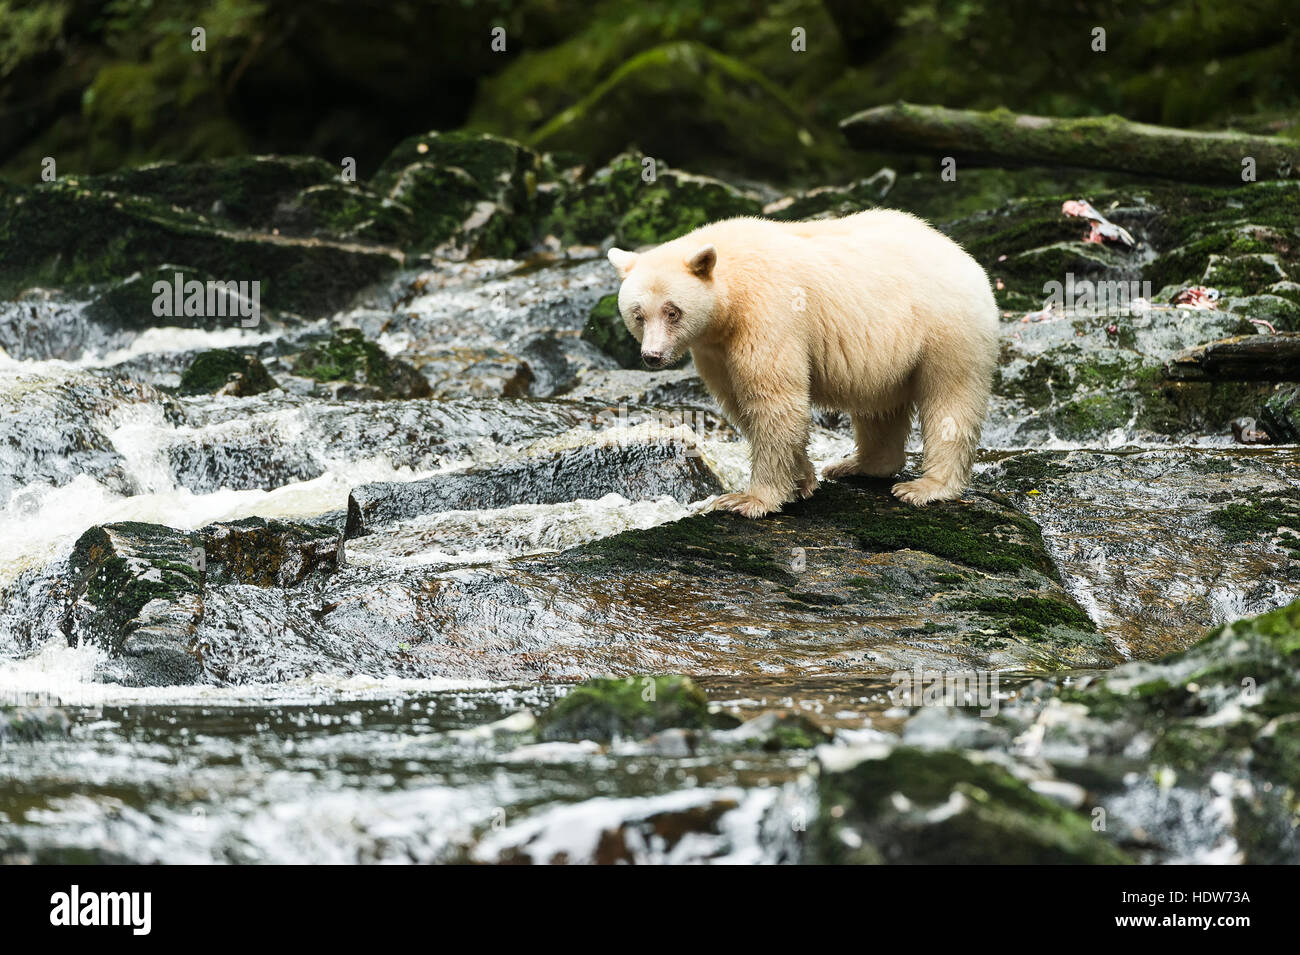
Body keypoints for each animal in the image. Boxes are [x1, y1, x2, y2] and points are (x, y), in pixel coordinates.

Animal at [606, 209, 999, 518]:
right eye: (638, 314)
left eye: (673, 311)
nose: (652, 356)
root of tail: (965, 258)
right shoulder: (714, 349)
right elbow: (740, 402)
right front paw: (804, 479)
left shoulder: (768, 314)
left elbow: (774, 399)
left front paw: (749, 499)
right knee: (879, 405)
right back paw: (858, 464)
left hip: (945, 329)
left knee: (950, 399)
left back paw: (926, 486)